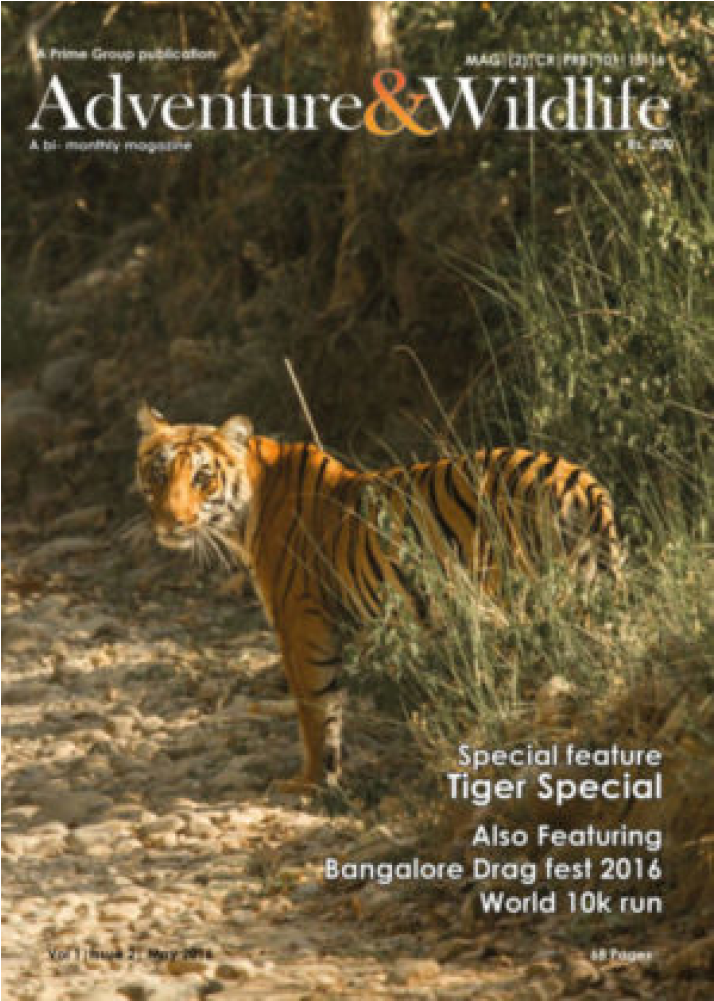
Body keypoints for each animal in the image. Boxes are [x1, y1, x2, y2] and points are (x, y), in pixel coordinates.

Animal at [134, 402, 622, 792]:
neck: (246, 511)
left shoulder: (302, 623)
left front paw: (310, 783)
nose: (171, 522)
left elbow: (314, 709)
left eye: (203, 477)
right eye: (159, 473)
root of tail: (581, 482)